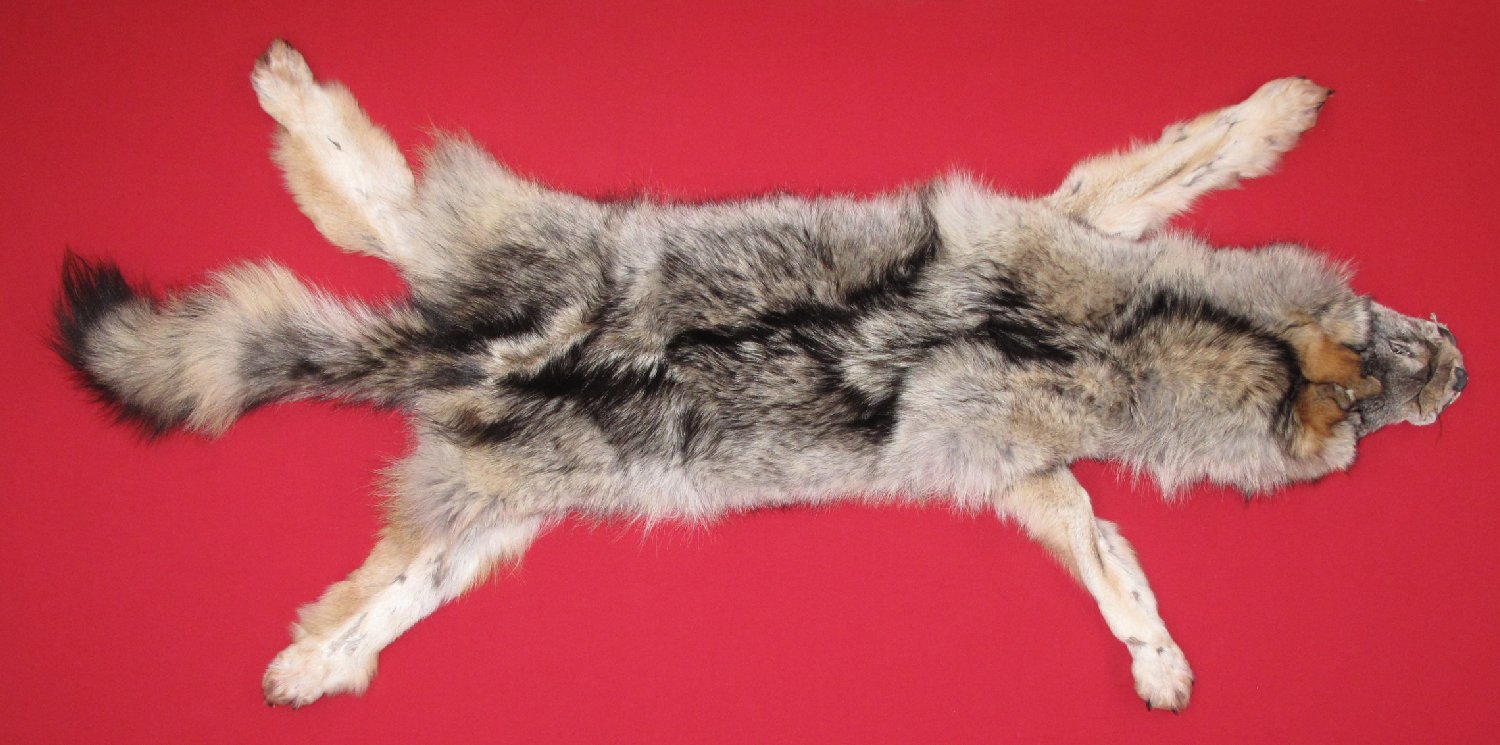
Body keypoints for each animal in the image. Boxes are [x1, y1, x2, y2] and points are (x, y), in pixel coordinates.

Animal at [52, 41, 1466, 711]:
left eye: (1396, 338)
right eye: (1384, 396)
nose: (1461, 369)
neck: (1121, 342)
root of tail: (450, 354)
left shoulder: (1049, 440)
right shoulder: (1073, 303)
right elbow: (1197, 152)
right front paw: (1161, 663)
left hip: (492, 518)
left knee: (376, 591)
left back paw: (312, 659)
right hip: (497, 324)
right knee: (373, 193)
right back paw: (299, 92)